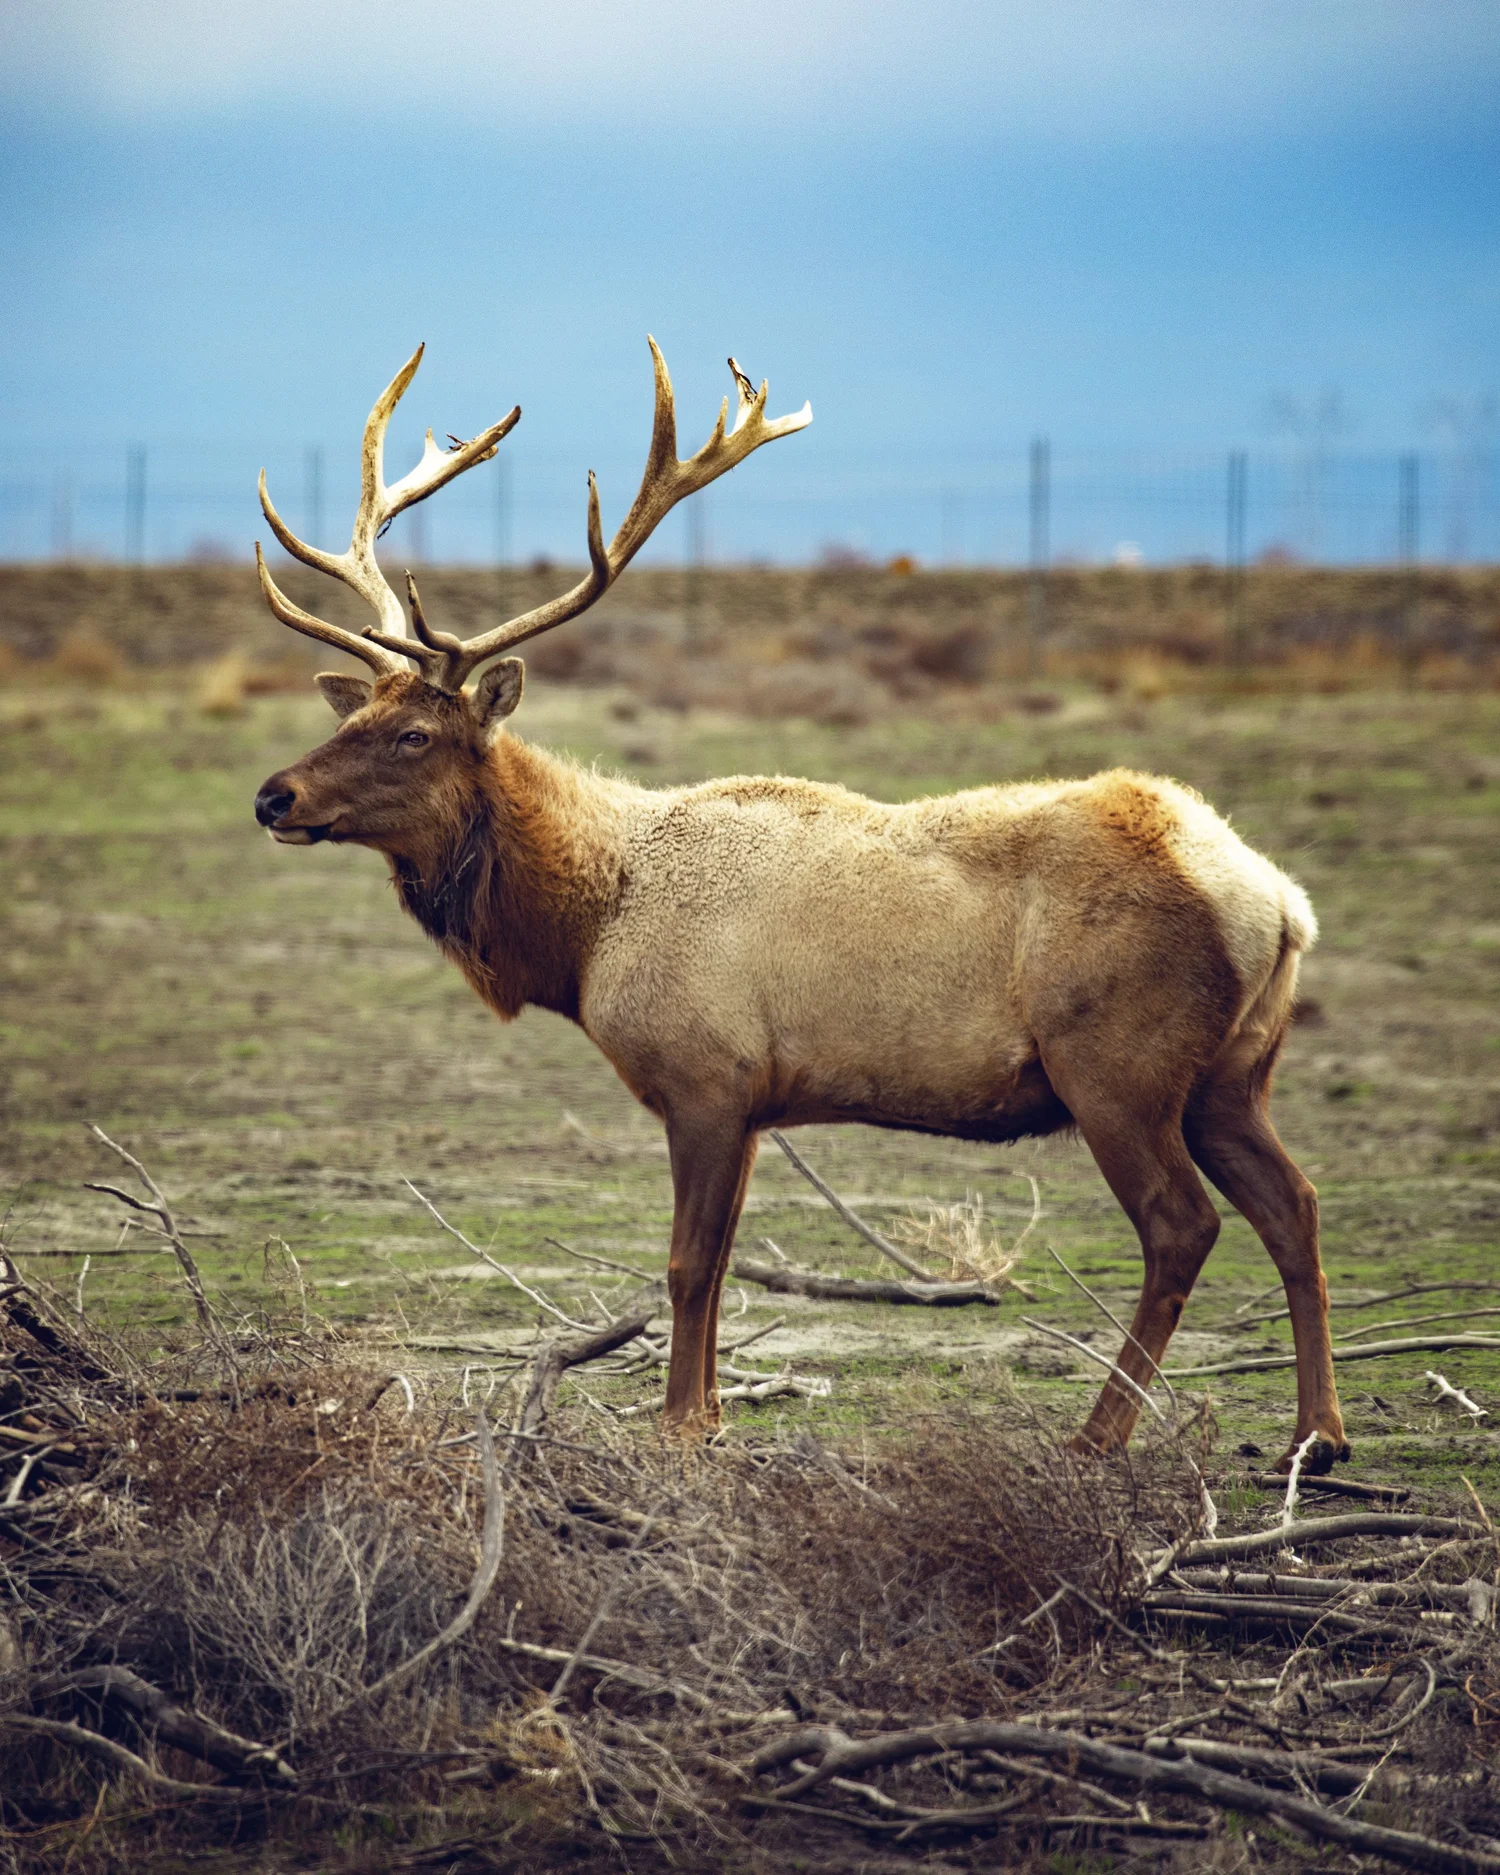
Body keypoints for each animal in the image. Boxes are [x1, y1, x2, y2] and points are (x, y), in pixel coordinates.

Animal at [252, 339, 1348, 1474]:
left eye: (415, 734)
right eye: (353, 716)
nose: (273, 796)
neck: (588, 932)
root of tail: (1280, 902)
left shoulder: (704, 1074)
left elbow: (688, 1262)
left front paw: (678, 1425)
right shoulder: (752, 1100)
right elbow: (723, 1258)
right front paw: (710, 1414)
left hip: (1117, 1066)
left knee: (1183, 1224)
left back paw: (1100, 1433)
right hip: (1230, 1074)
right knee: (1296, 1205)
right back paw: (1317, 1432)